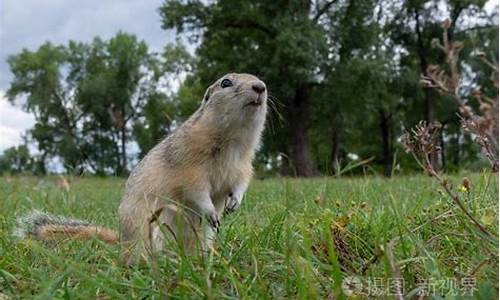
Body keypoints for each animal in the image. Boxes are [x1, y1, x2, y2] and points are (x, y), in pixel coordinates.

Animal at [13, 73, 268, 262]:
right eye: (226, 82)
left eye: (258, 78)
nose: (260, 87)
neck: (233, 141)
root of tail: (122, 243)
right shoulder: (189, 168)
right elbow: (197, 192)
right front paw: (211, 212)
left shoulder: (243, 168)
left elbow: (239, 185)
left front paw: (234, 204)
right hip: (155, 228)